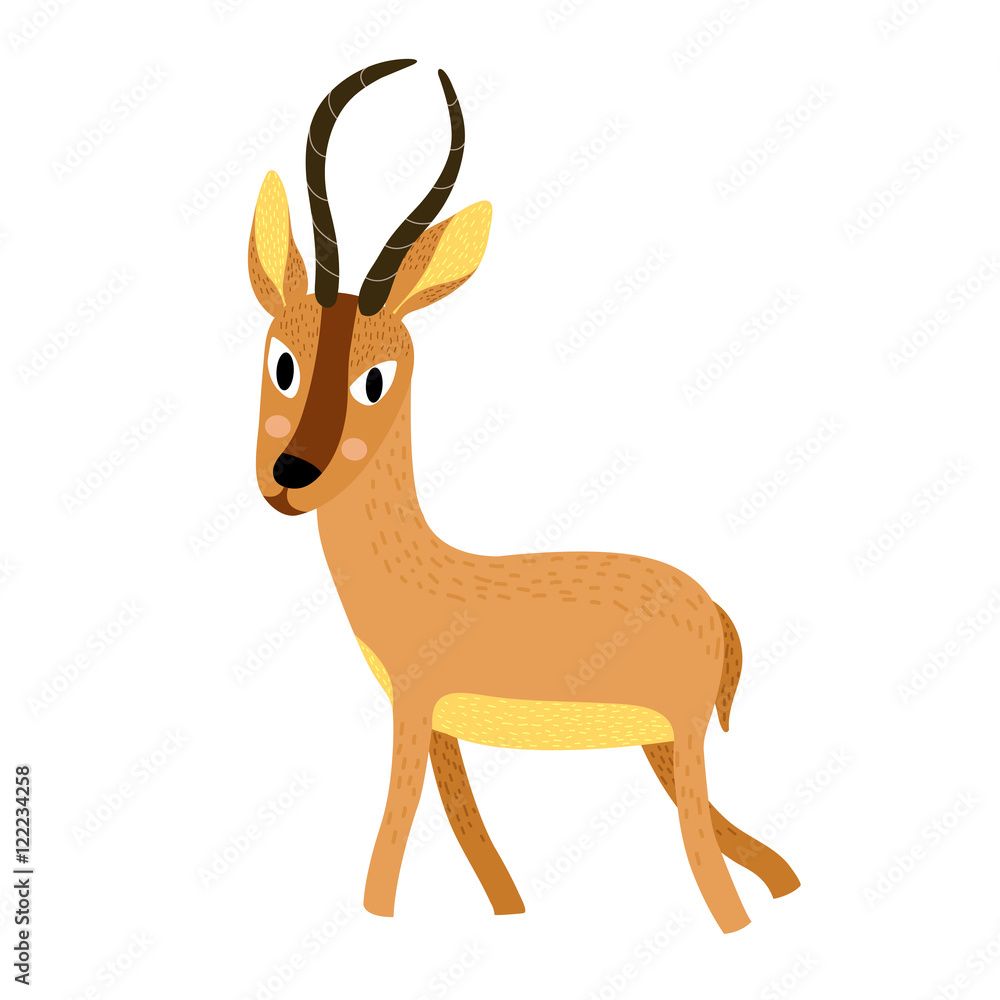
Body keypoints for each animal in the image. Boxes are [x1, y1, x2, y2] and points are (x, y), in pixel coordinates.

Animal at [246, 59, 799, 933]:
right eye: (283, 360)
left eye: (377, 377)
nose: (292, 474)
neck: (418, 575)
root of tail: (716, 611)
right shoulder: (444, 731)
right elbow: (477, 846)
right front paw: (510, 917)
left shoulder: (413, 709)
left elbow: (391, 841)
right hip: (663, 748)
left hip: (677, 744)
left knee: (715, 876)